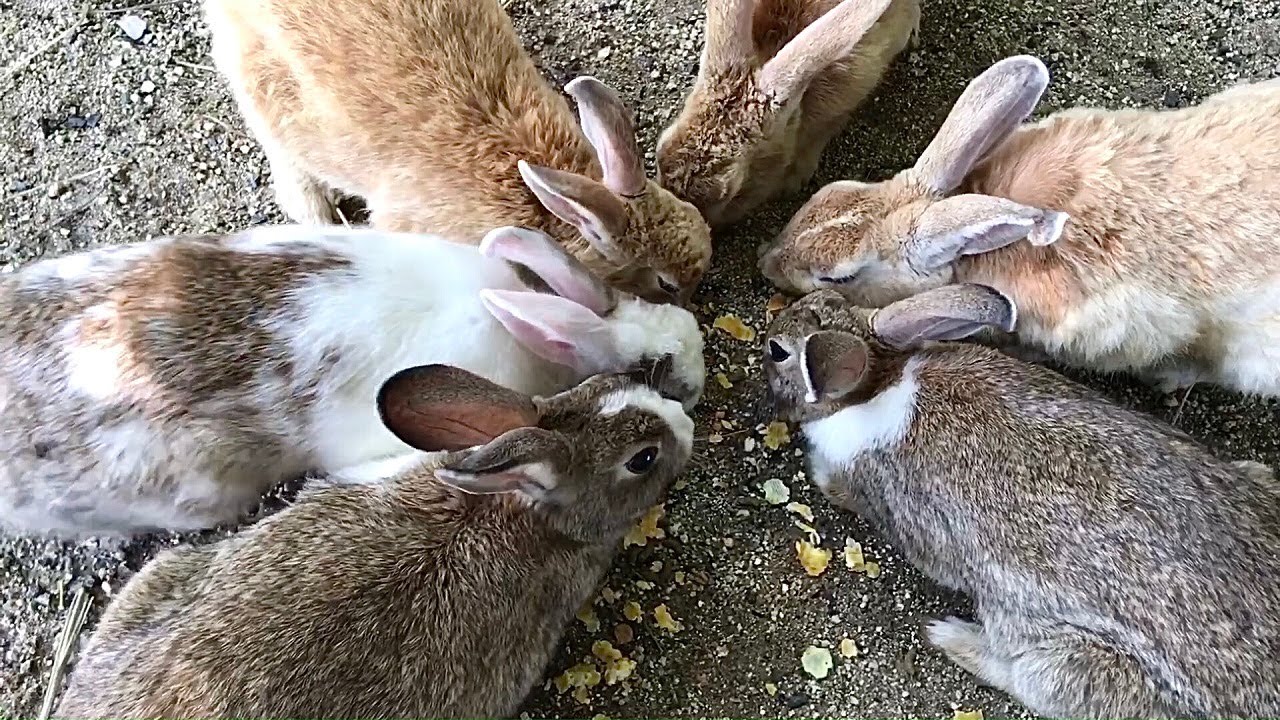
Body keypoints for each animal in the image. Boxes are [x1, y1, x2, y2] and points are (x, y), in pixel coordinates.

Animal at [763, 283, 1280, 719]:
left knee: (1025, 676)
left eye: (778, 352)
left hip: (1063, 664)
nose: (771, 331)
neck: (878, 384)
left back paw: (951, 636)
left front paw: (816, 470)